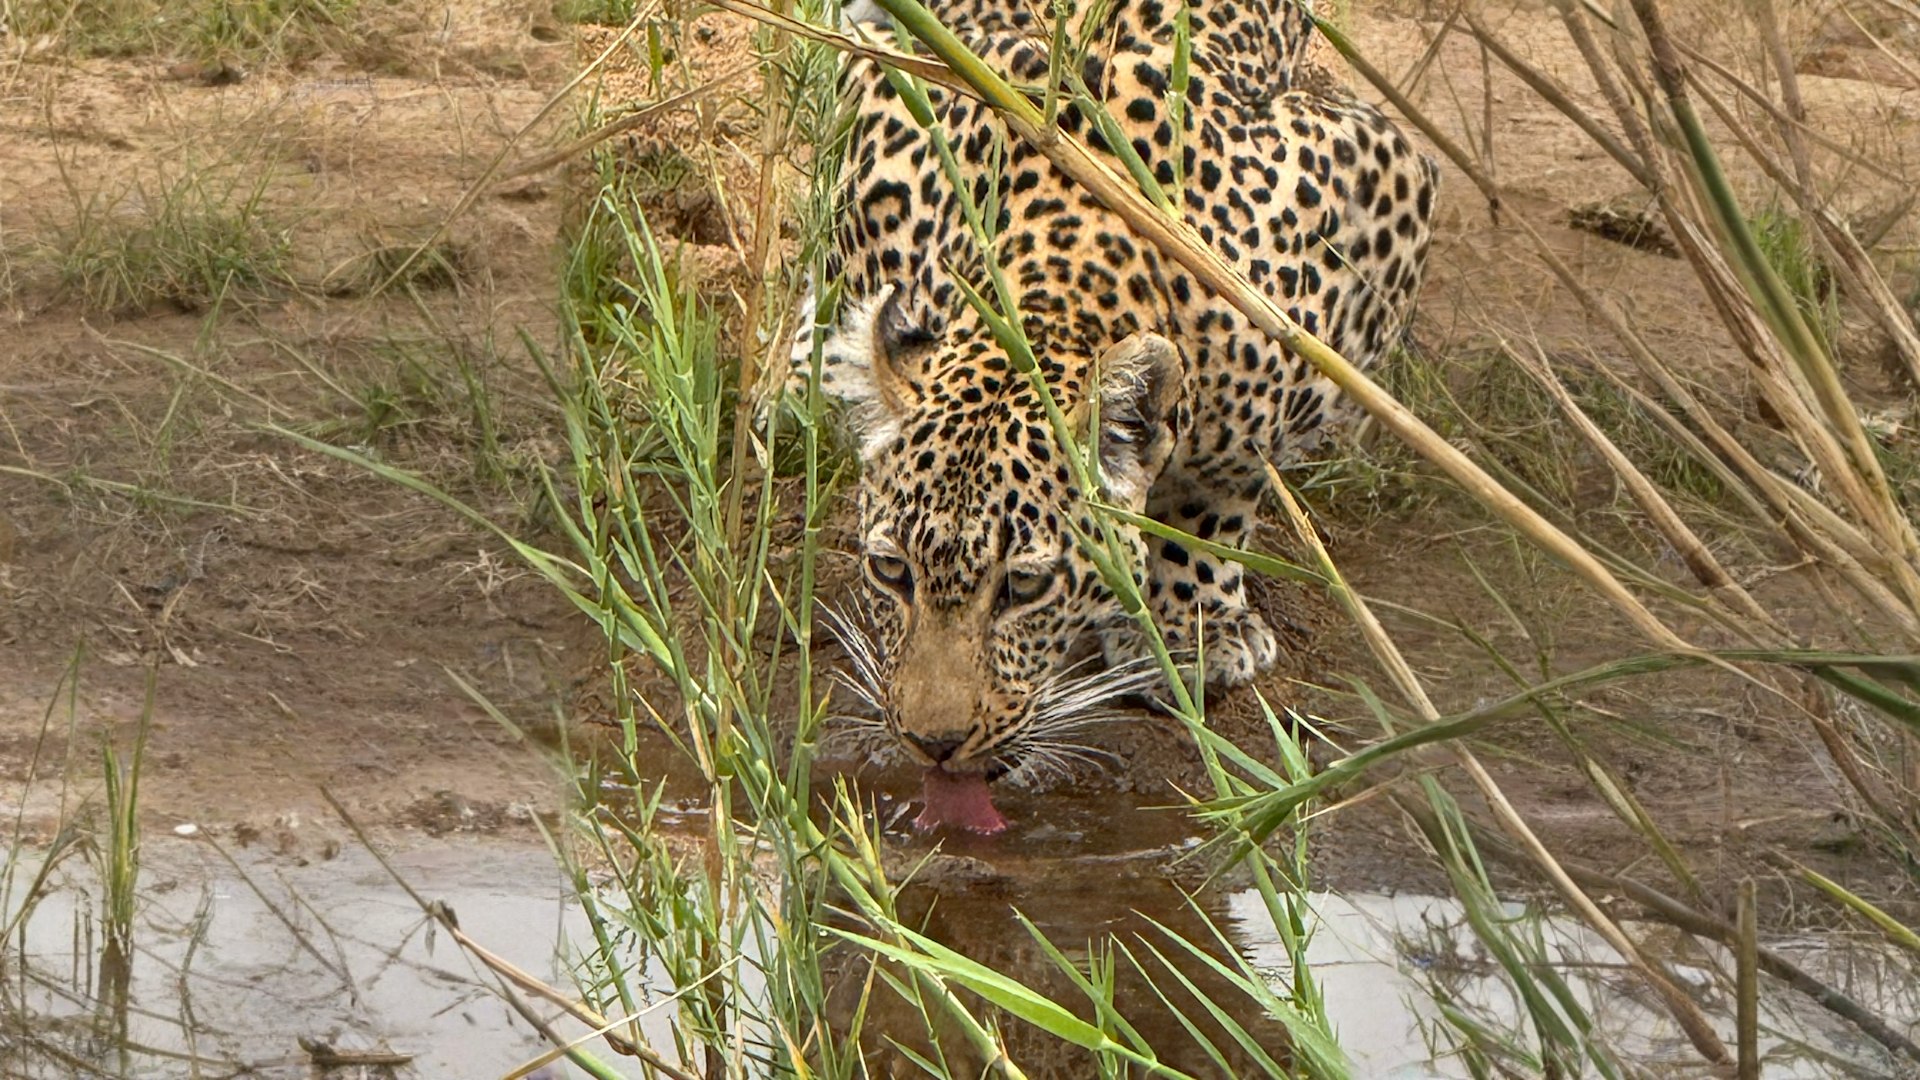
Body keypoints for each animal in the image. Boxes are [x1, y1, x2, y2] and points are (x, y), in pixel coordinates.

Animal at [794, 0, 1439, 828]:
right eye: (890, 572)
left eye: (1025, 588)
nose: (932, 744)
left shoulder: (1389, 178)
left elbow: (1220, 490)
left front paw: (1194, 631)